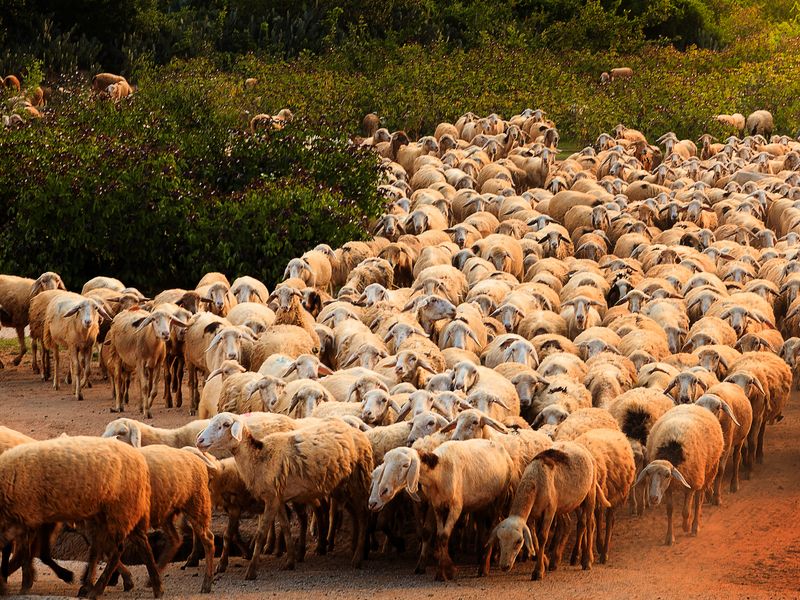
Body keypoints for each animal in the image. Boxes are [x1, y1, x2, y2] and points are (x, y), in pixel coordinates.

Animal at [0, 436, 162, 598]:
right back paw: (155, 587)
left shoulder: (29, 516)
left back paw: (97, 589)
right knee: (137, 544)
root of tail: (140, 460)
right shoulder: (32, 519)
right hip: (118, 513)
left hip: (120, 510)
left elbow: (25, 552)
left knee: (116, 550)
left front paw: (18, 583)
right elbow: (29, 552)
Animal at [196, 413, 373, 578]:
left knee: (364, 516)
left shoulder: (271, 499)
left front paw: (252, 570)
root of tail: (359, 432)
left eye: (225, 425)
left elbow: (261, 534)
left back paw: (357, 558)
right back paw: (353, 549)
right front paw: (290, 561)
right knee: (355, 515)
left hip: (359, 479)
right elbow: (286, 527)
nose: (199, 441)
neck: (259, 457)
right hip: (340, 485)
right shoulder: (279, 499)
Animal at [639, 404, 724, 545]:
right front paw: (669, 538)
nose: (653, 498)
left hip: (705, 474)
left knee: (698, 501)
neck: (673, 449)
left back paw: (694, 527)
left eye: (667, 475)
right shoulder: (668, 488)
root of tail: (693, 404)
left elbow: (686, 511)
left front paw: (686, 526)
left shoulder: (692, 483)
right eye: (649, 474)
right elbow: (670, 510)